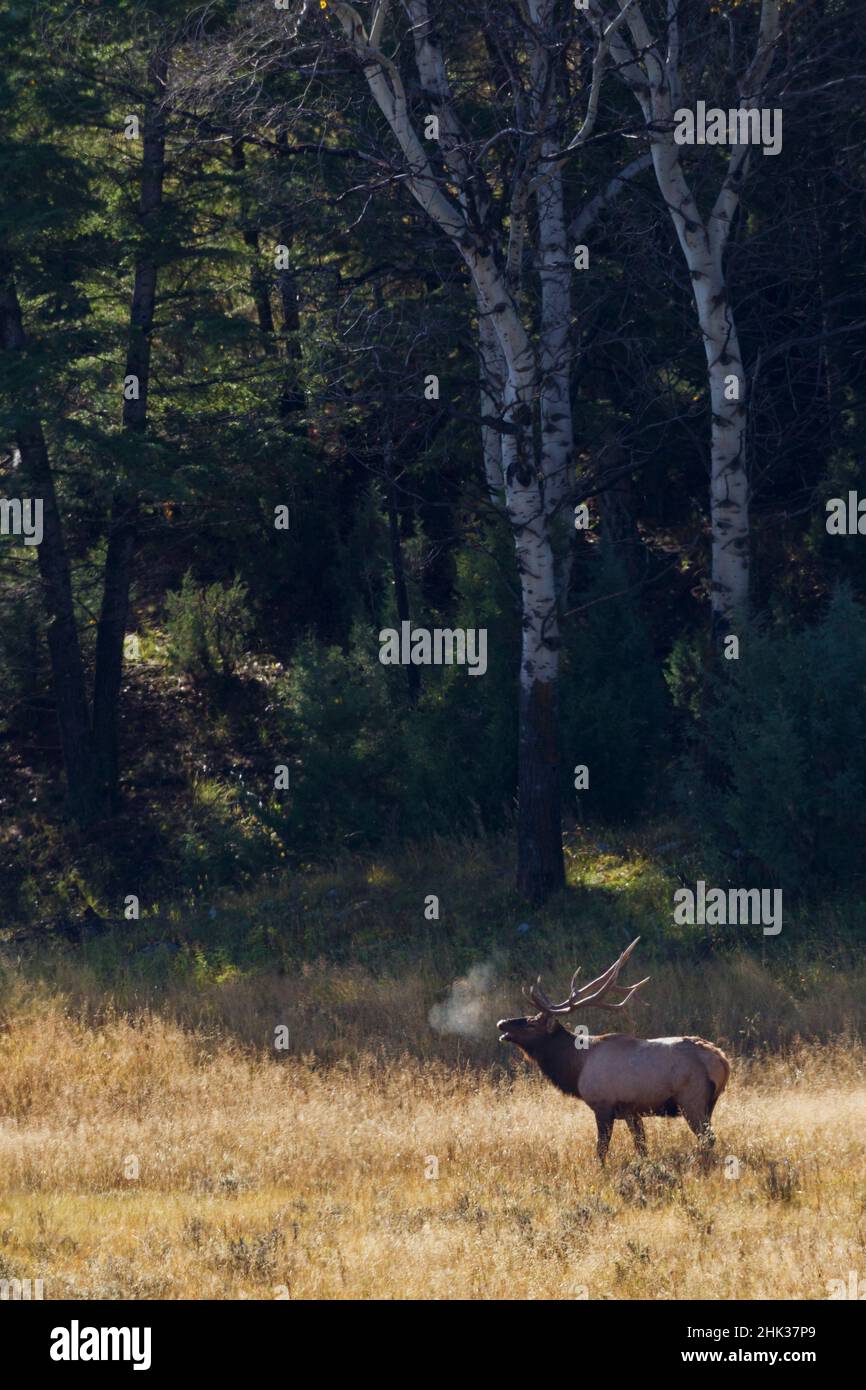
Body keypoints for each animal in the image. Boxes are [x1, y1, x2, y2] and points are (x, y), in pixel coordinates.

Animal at [497, 939, 730, 1165]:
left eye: (532, 1024)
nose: (502, 1023)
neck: (576, 1067)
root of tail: (722, 1061)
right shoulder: (631, 1111)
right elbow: (641, 1147)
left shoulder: (603, 1104)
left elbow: (601, 1149)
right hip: (709, 1104)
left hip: (692, 1100)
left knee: (708, 1138)